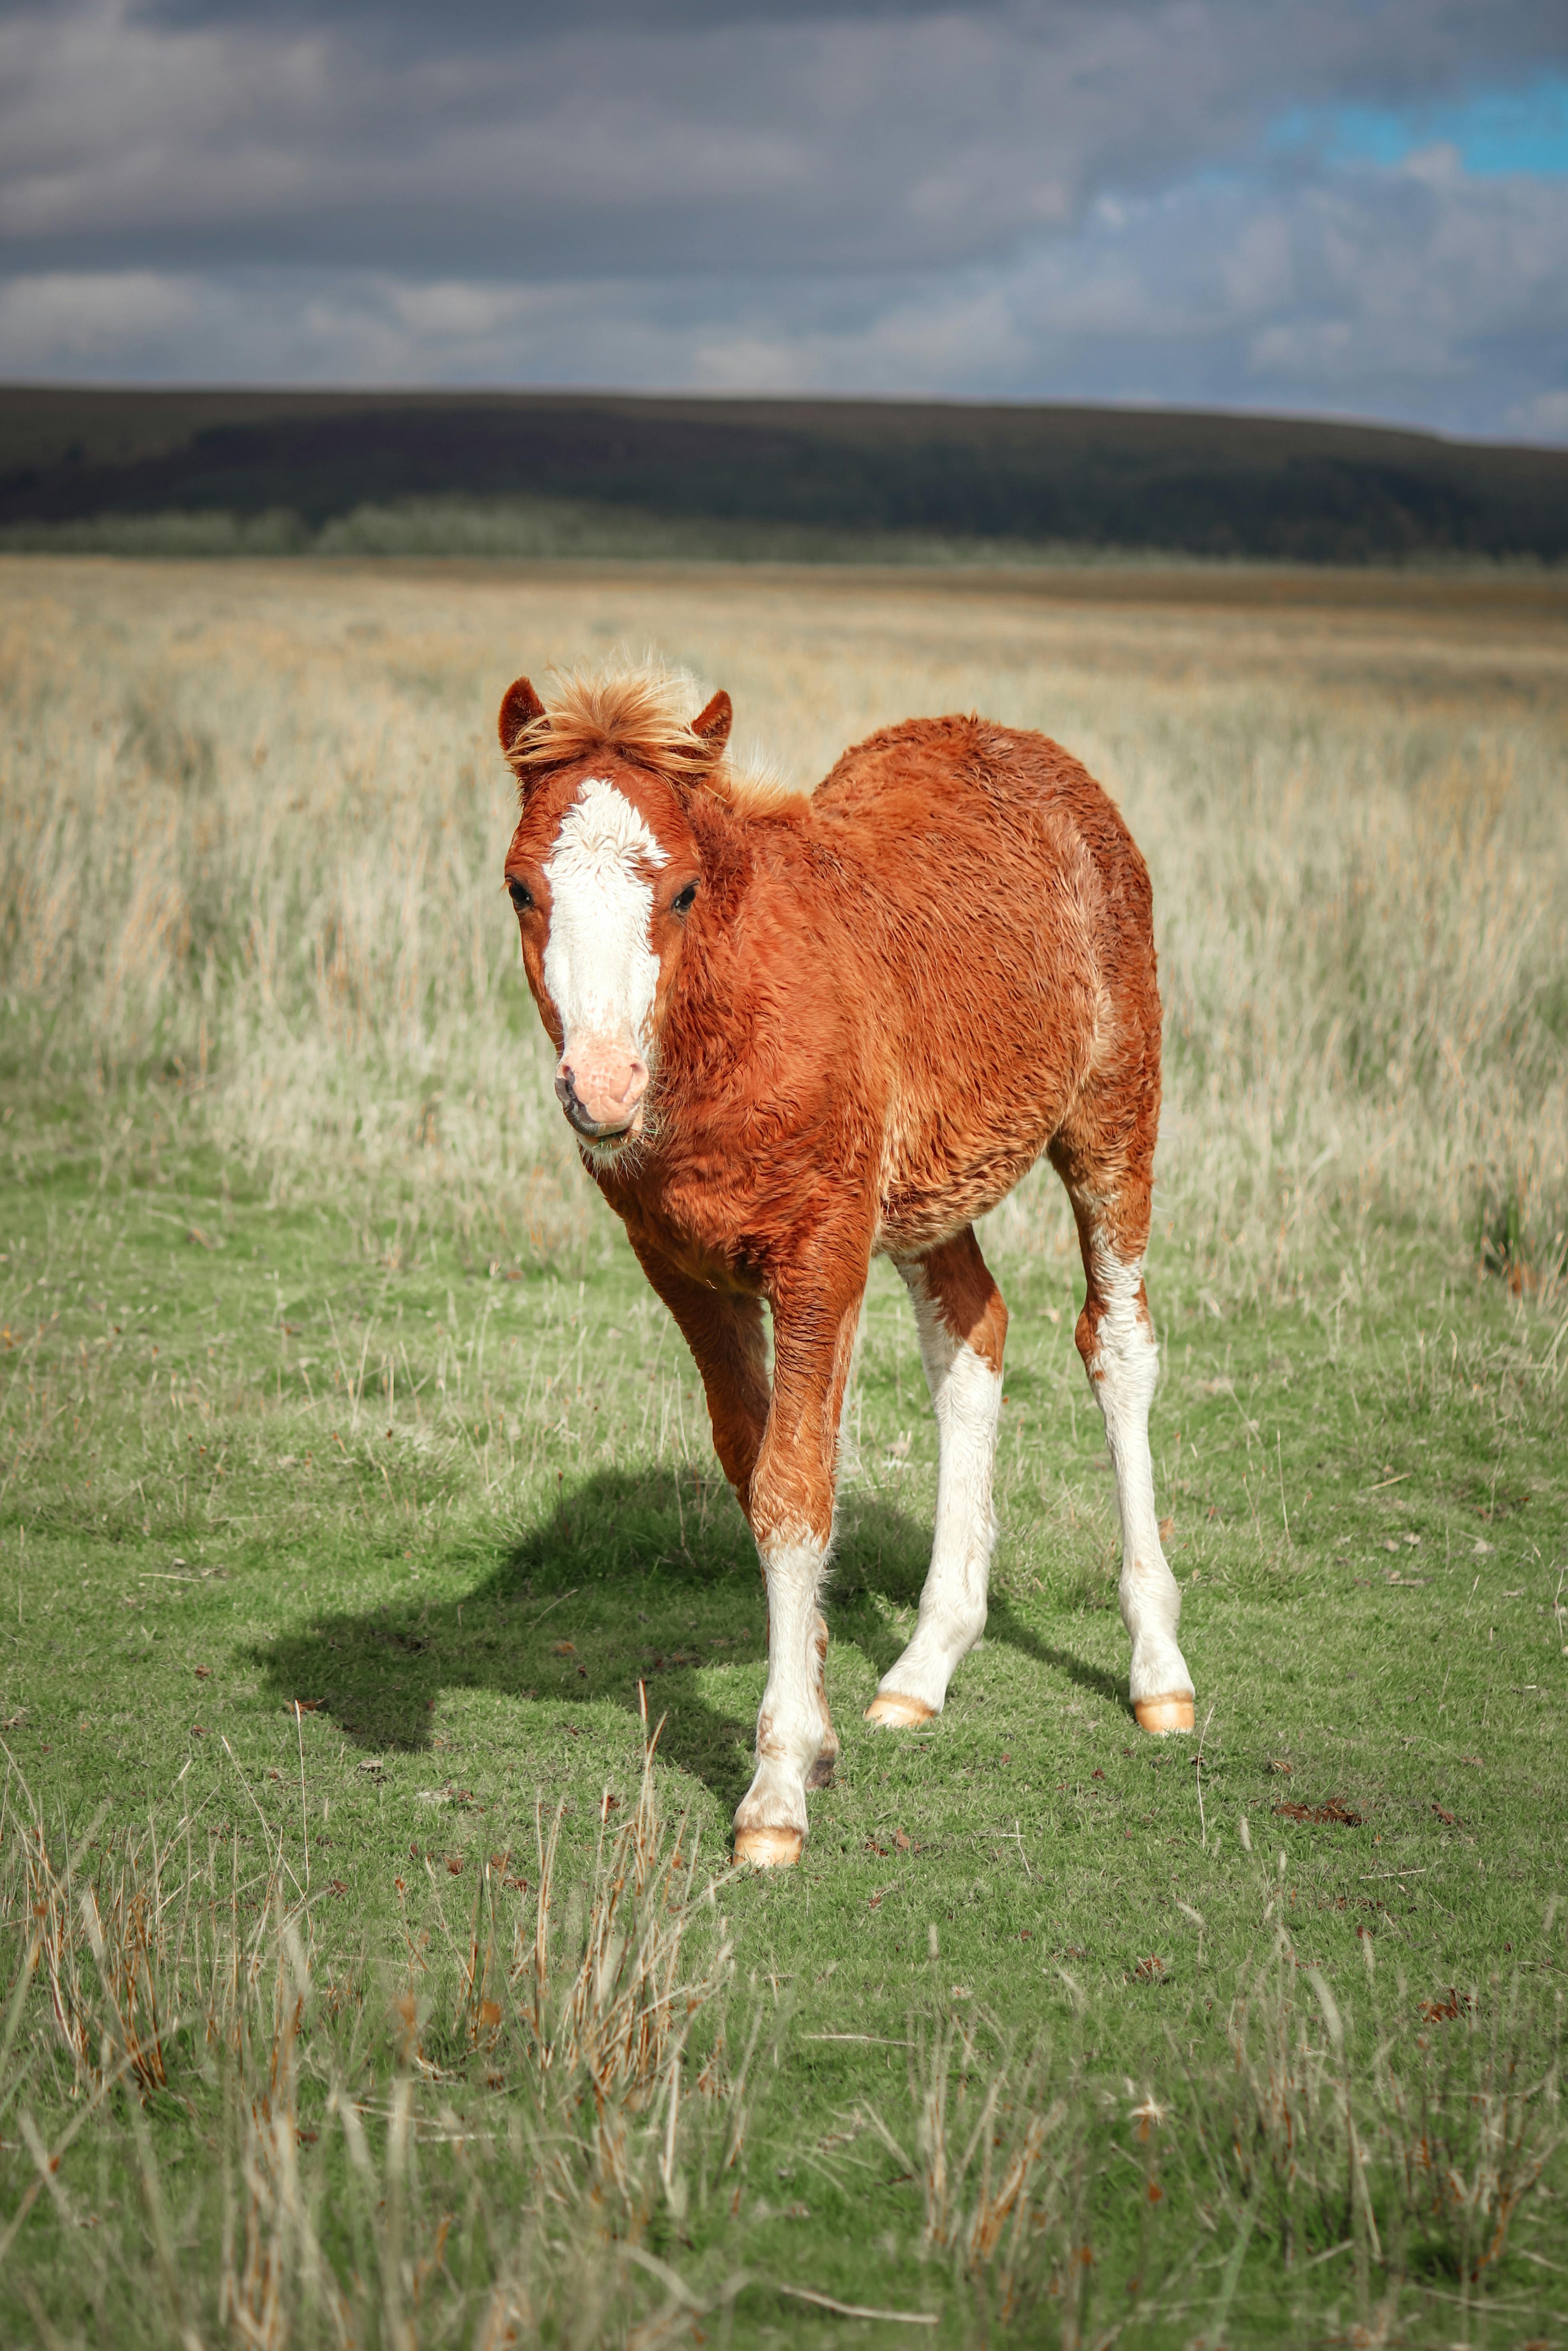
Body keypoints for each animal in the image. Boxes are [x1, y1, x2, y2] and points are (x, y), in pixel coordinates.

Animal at [497, 664, 1194, 1867]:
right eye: (519, 889)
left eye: (682, 891)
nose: (603, 1087)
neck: (730, 1023)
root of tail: (1032, 753)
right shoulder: (682, 1269)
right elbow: (752, 1470)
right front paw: (817, 1730)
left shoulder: (819, 1255)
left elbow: (795, 1487)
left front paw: (776, 1789)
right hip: (928, 1185)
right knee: (972, 1332)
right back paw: (924, 1663)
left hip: (1111, 1112)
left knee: (1117, 1341)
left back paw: (1158, 1668)